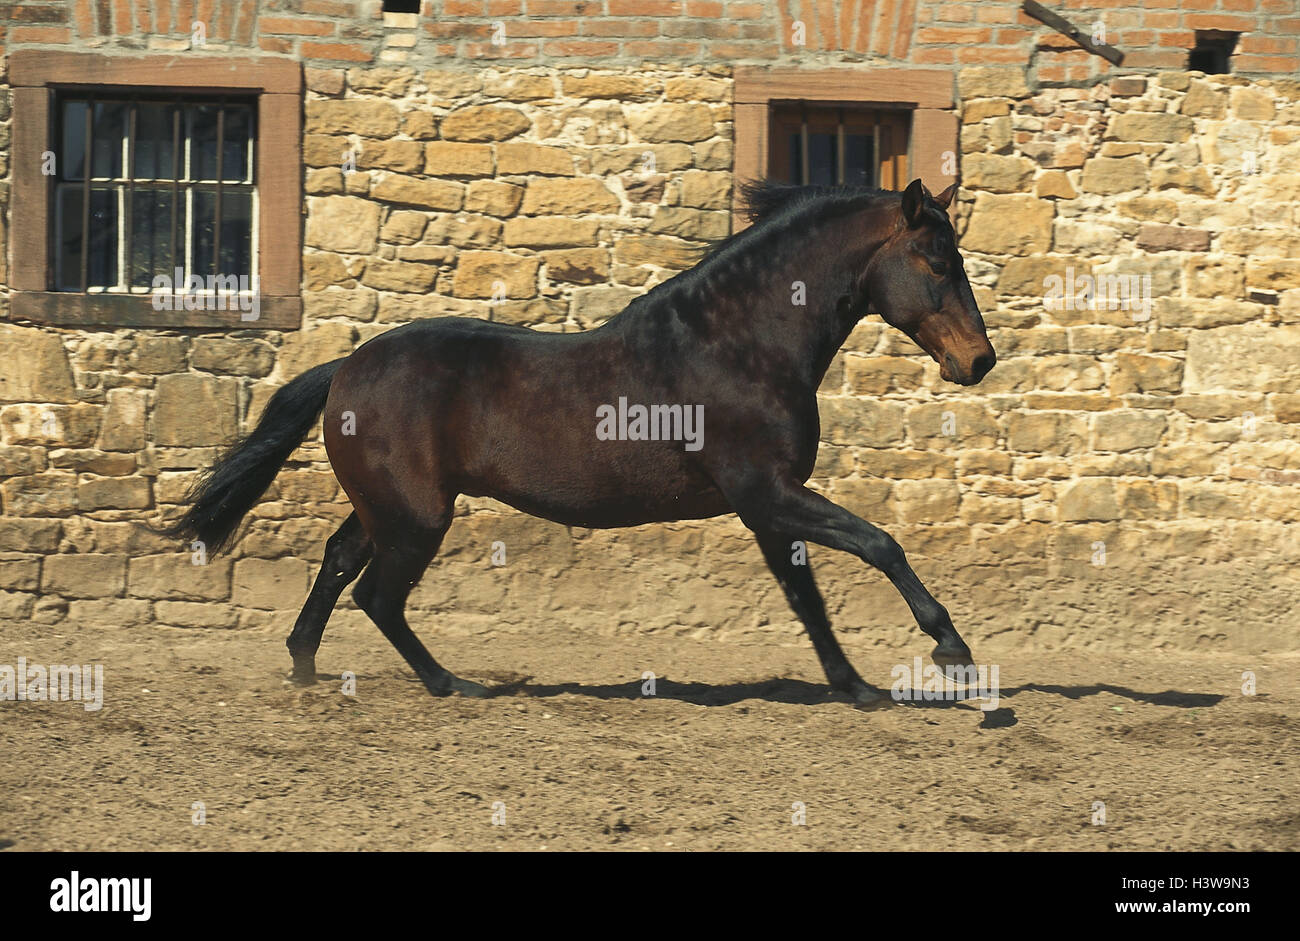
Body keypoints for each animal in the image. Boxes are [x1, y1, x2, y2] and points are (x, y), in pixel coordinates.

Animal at [164, 177, 996, 707]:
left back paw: (305, 666)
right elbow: (879, 543)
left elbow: (807, 597)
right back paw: (451, 684)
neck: (739, 346)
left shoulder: (766, 506)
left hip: (390, 508)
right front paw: (951, 651)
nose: (979, 360)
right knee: (377, 594)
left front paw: (855, 686)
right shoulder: (769, 492)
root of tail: (344, 369)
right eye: (936, 259)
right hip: (418, 517)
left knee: (340, 562)